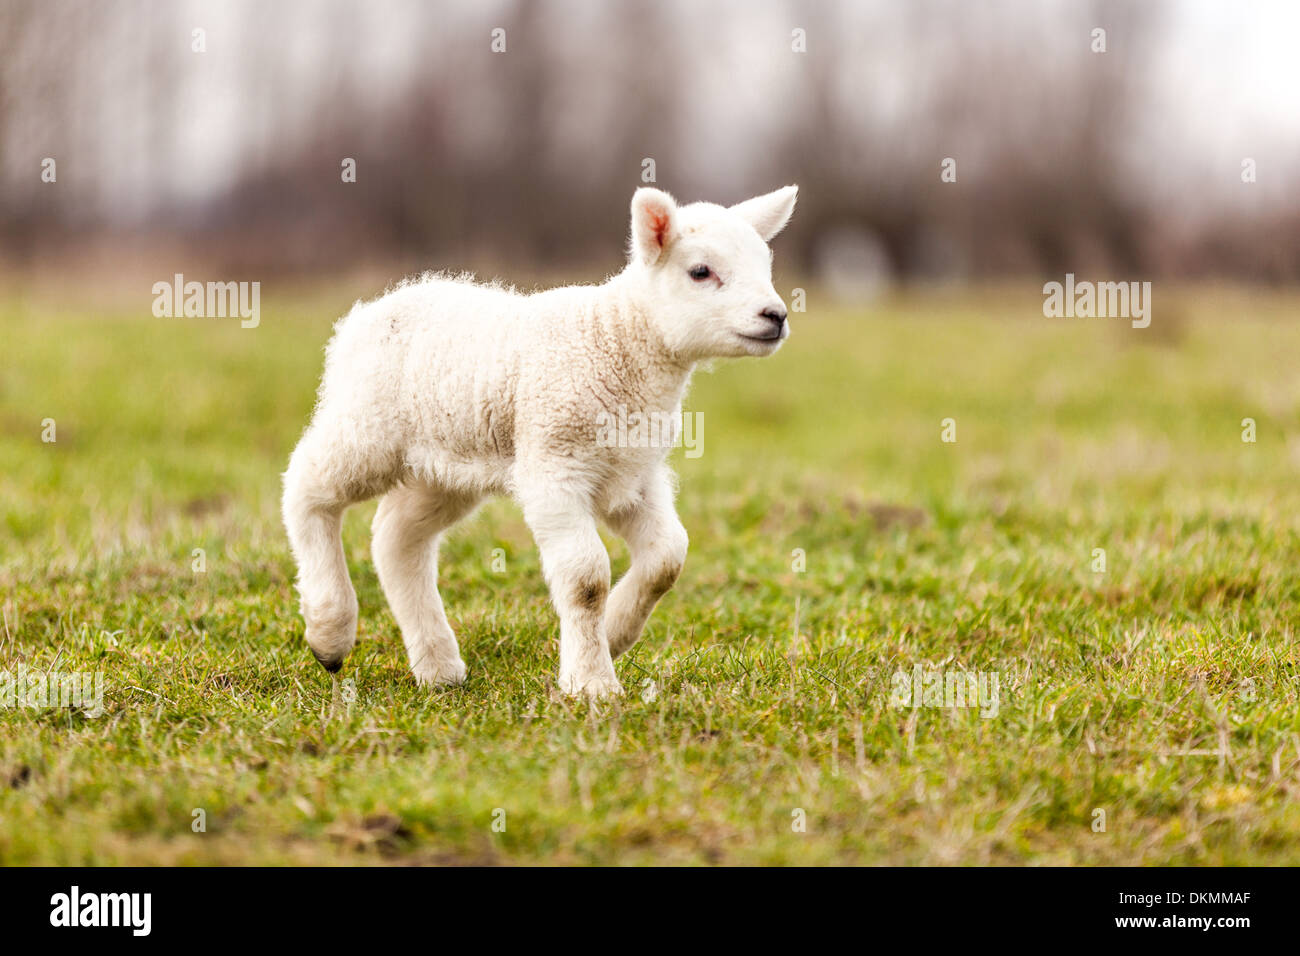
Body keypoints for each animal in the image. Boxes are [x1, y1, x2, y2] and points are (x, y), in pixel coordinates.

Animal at [281, 184, 798, 698]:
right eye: (700, 271)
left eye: (764, 264)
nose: (776, 316)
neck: (618, 340)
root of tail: (364, 316)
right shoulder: (555, 466)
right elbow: (586, 578)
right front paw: (591, 682)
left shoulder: (631, 474)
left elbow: (667, 557)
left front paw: (613, 634)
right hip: (367, 428)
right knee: (307, 486)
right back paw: (329, 632)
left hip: (445, 466)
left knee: (397, 539)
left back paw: (438, 667)